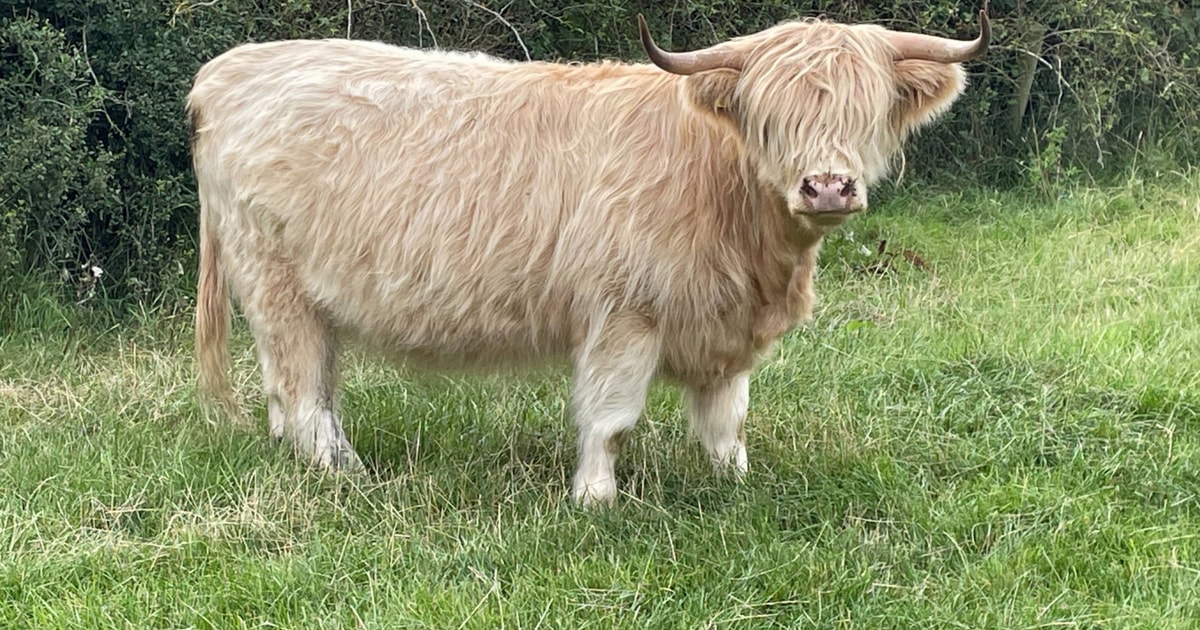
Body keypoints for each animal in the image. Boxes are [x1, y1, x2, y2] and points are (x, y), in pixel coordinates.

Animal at [189, 9, 989, 505]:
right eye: (770, 117)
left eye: (866, 109)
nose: (826, 186)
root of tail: (229, 70)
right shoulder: (623, 317)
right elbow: (611, 419)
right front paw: (597, 500)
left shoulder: (724, 325)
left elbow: (727, 422)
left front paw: (732, 483)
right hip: (276, 283)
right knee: (301, 391)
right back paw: (342, 476)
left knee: (301, 389)